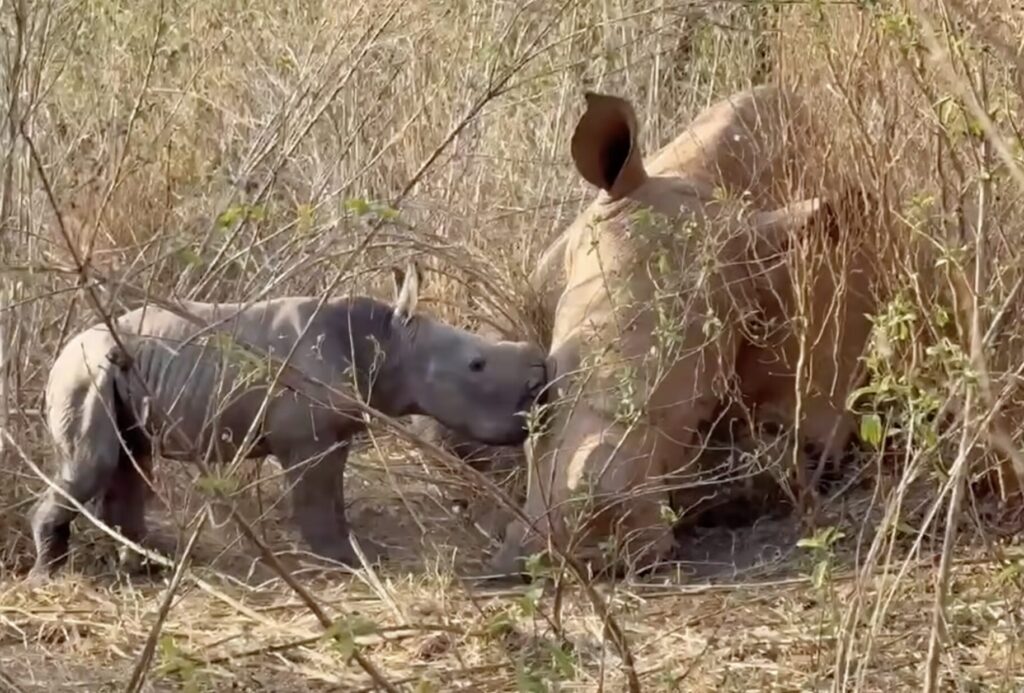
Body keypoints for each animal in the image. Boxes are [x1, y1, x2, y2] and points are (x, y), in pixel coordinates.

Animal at [29, 263, 551, 579]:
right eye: (477, 365)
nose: (539, 384)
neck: (387, 341)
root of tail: (59, 356)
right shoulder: (306, 439)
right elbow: (316, 500)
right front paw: (349, 563)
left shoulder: (334, 433)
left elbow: (333, 496)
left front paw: (354, 553)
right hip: (83, 372)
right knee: (93, 461)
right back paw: (48, 575)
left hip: (113, 372)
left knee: (131, 460)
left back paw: (145, 567)